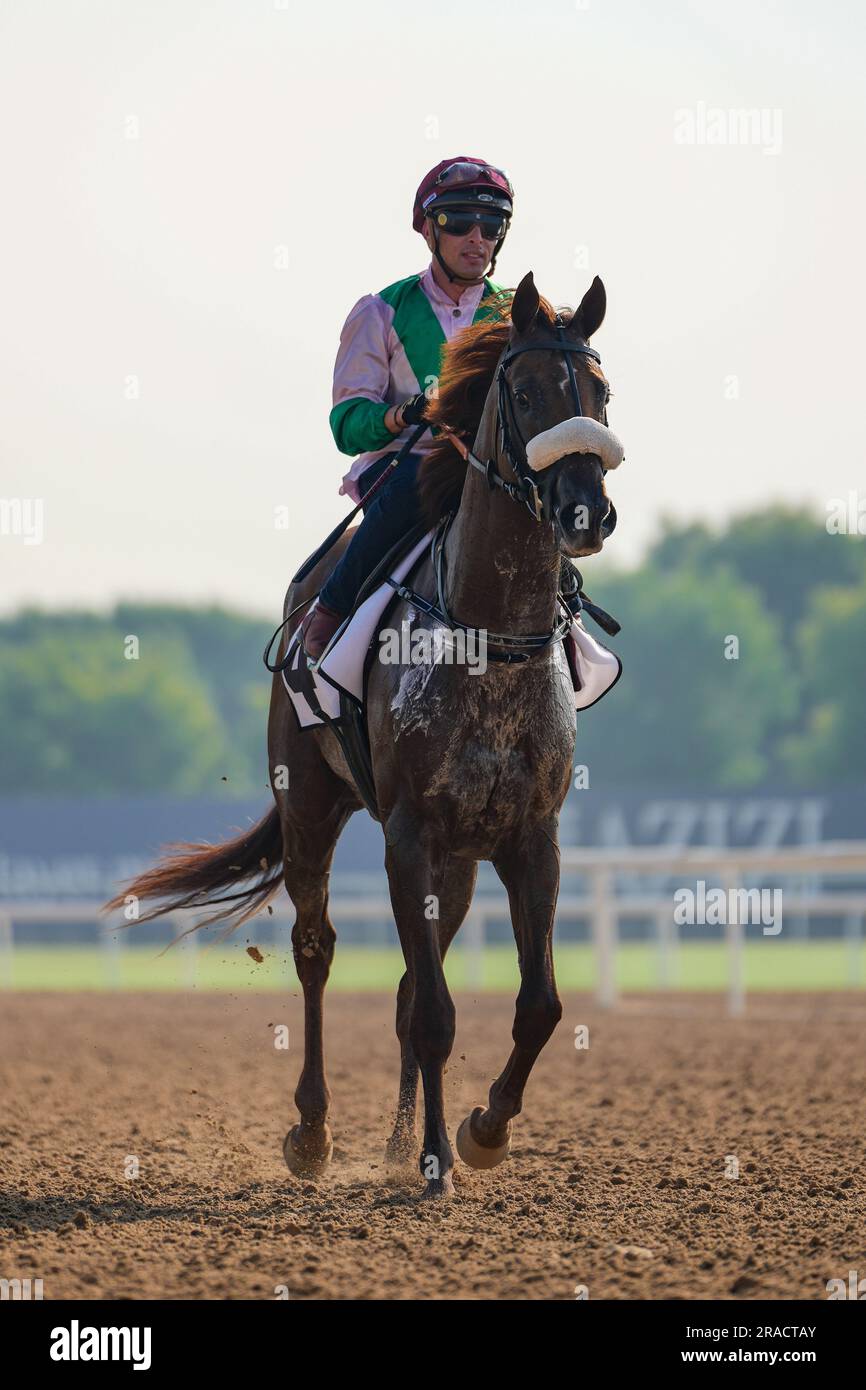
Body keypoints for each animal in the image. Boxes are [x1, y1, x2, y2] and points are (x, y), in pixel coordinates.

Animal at [104, 271, 621, 1200]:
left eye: (601, 392)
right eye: (526, 393)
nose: (585, 512)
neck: (487, 635)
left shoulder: (531, 835)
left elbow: (534, 1004)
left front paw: (480, 1131)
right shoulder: (408, 831)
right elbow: (437, 1012)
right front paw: (438, 1160)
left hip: (458, 861)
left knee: (413, 983)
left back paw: (396, 1141)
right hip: (312, 806)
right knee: (317, 951)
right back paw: (315, 1133)